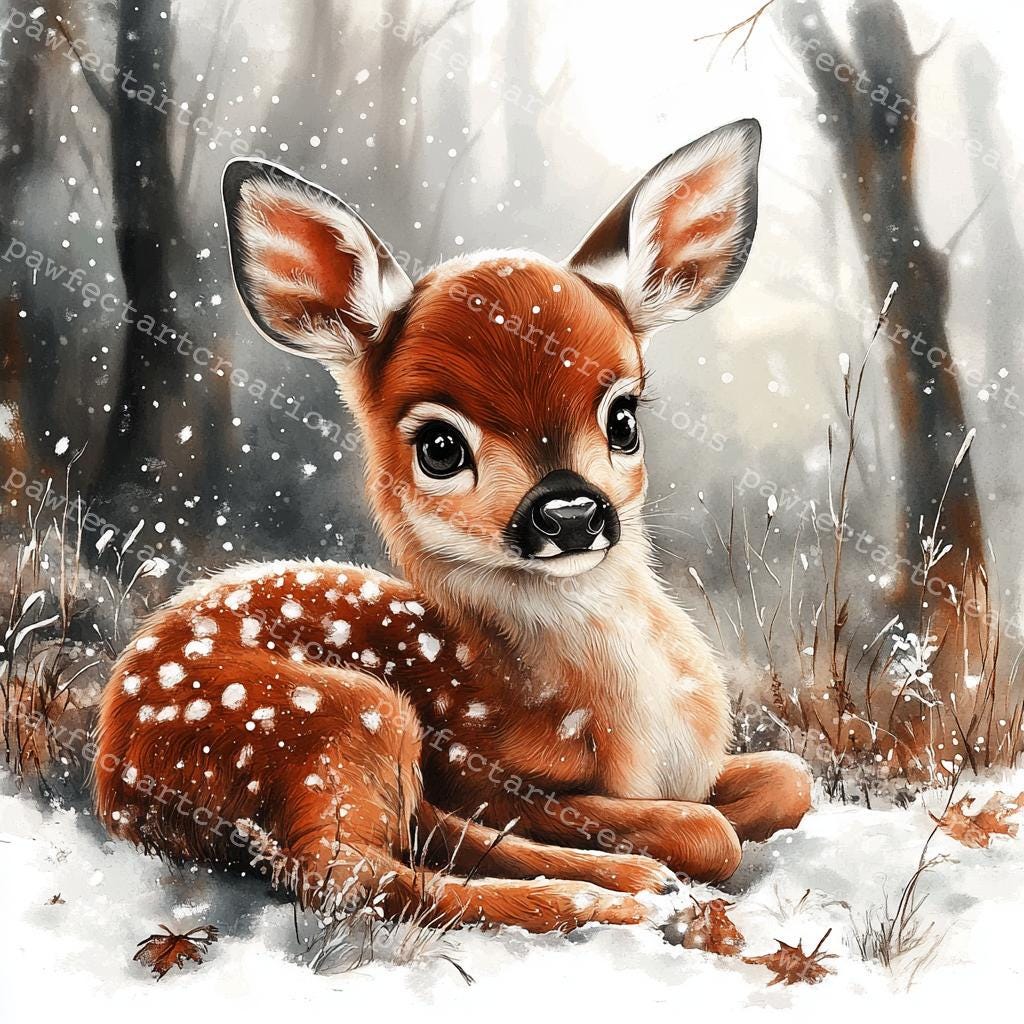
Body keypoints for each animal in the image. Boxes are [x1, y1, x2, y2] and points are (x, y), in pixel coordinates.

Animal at [94, 118, 811, 935]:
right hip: (333, 716)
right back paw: (613, 894)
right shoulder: (486, 767)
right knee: (349, 874)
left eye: (623, 418)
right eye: (440, 447)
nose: (570, 512)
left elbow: (790, 778)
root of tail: (118, 770)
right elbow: (702, 828)